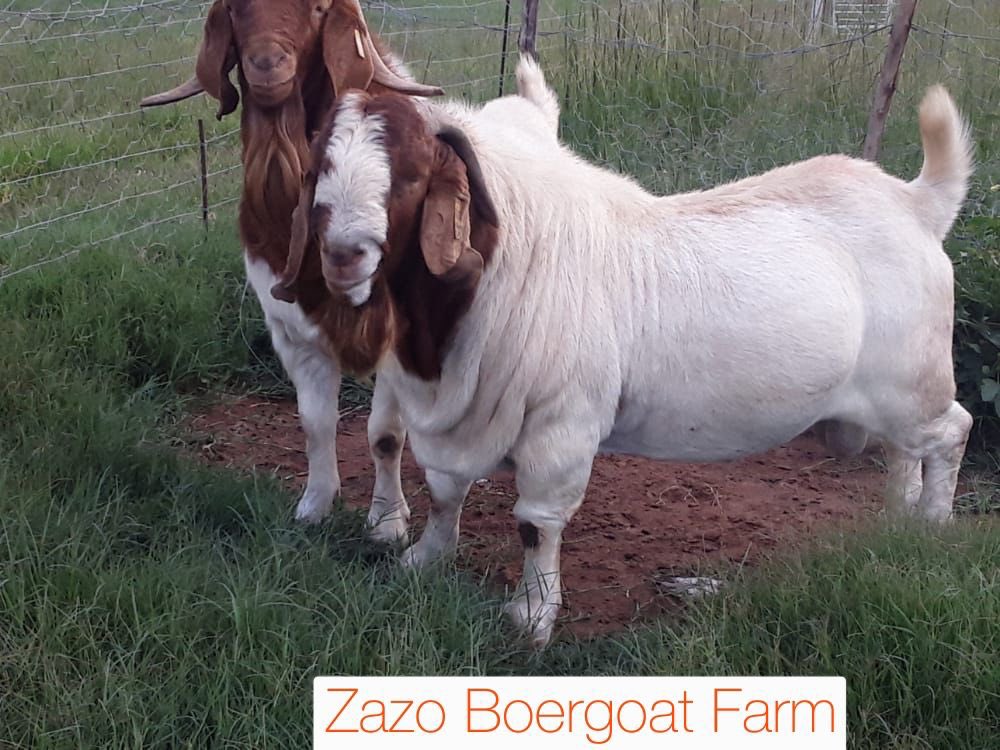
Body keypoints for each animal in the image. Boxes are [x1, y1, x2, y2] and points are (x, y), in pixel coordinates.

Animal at [141, 0, 440, 533]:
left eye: (318, 9)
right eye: (236, 9)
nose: (266, 64)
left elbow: (385, 434)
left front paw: (387, 524)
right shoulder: (289, 327)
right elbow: (315, 423)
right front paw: (314, 508)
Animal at [275, 57, 974, 646]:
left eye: (412, 174)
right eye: (321, 168)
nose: (344, 254)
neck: (509, 263)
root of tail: (917, 202)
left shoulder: (561, 423)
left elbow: (536, 522)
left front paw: (531, 618)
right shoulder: (453, 413)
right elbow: (447, 489)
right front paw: (424, 559)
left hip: (913, 385)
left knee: (952, 431)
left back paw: (933, 528)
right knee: (904, 451)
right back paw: (896, 519)